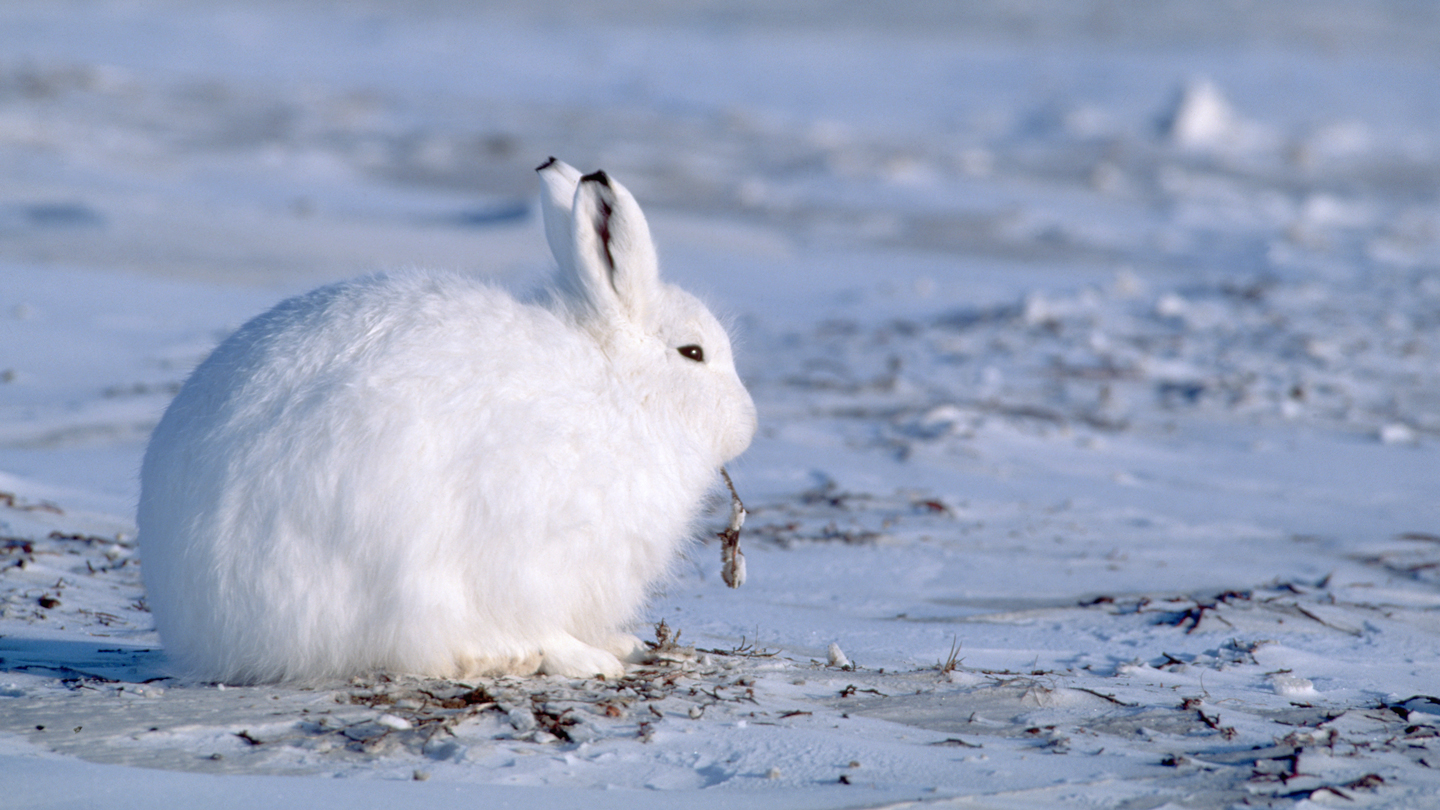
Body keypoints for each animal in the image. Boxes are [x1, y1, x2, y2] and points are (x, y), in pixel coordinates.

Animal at [137, 158, 757, 684]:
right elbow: (541, 617)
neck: (620, 389)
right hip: (394, 571)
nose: (747, 424)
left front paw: (620, 643)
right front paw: (591, 658)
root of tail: (203, 624)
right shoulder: (532, 552)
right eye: (693, 353)